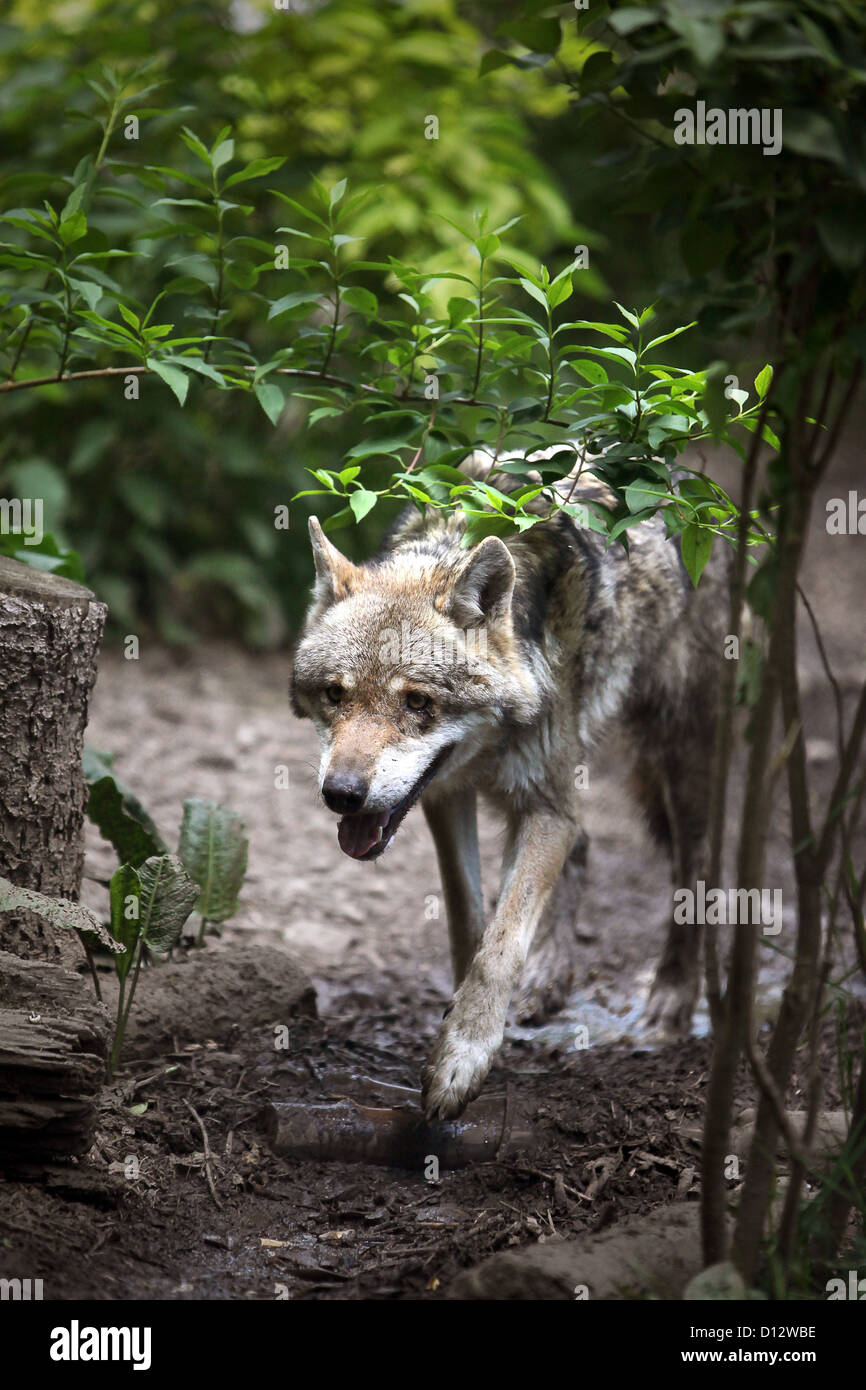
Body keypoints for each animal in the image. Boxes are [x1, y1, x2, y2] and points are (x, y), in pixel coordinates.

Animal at [290, 458, 726, 1119]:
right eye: (335, 695)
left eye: (418, 702)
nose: (341, 793)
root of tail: (692, 484)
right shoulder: (447, 796)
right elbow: (471, 921)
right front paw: (465, 1022)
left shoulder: (545, 806)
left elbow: (501, 943)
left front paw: (463, 1058)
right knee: (585, 846)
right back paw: (548, 981)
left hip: (677, 752)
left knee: (693, 867)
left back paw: (671, 1002)